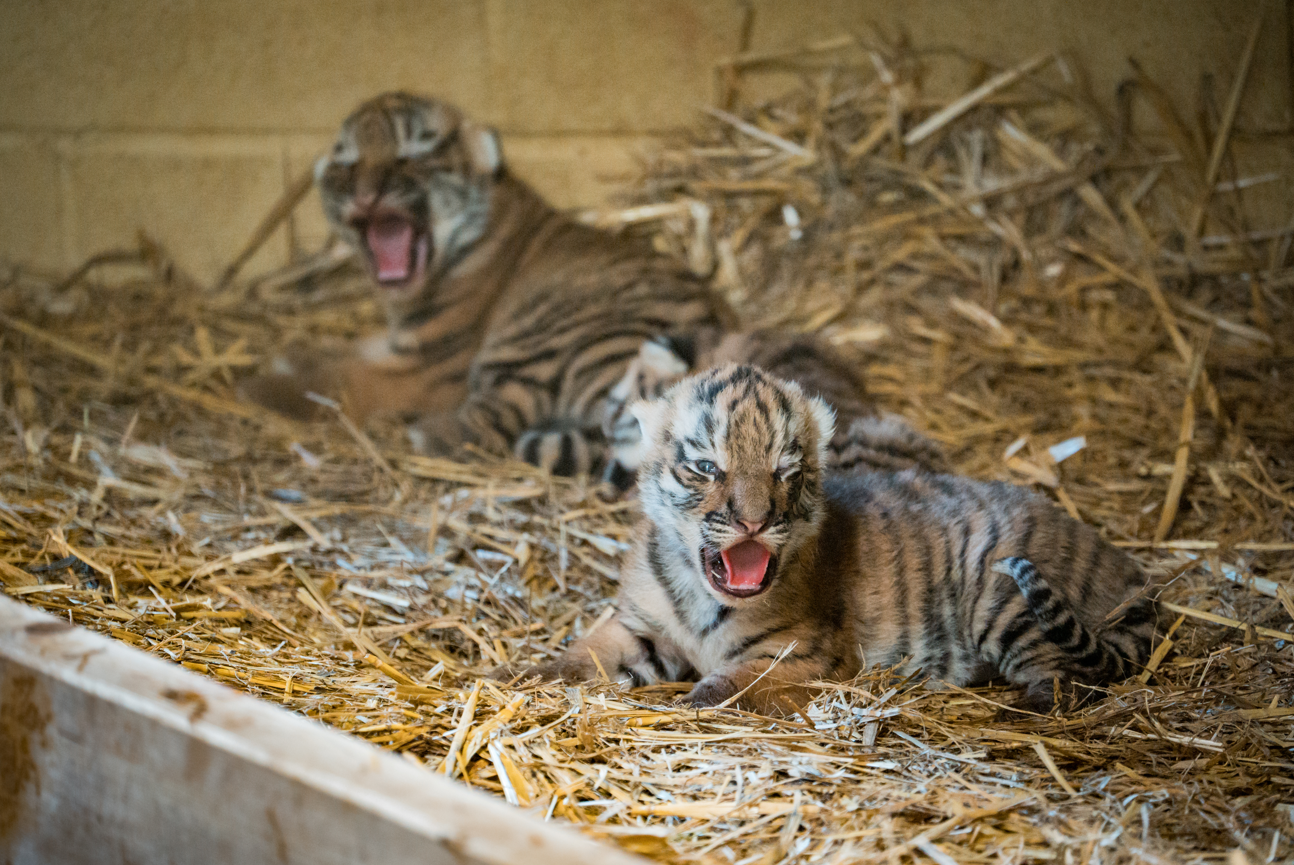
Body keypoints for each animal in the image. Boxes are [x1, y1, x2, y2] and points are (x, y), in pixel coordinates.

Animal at [239, 92, 732, 475]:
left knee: (488, 425)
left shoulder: (427, 370)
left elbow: (337, 381)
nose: (365, 194)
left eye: (411, 154)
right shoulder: (402, 342)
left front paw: (254, 387)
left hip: (536, 342)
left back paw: (420, 434)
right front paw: (291, 354)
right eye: (347, 161)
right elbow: (351, 348)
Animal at [508, 364, 1157, 714]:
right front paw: (523, 677)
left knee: (1069, 682)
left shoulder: (803, 651)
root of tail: (1130, 571)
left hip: (1005, 595)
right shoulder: (640, 627)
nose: (753, 521)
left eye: (784, 472)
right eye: (708, 468)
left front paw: (693, 701)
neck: (699, 593)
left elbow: (732, 683)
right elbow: (583, 655)